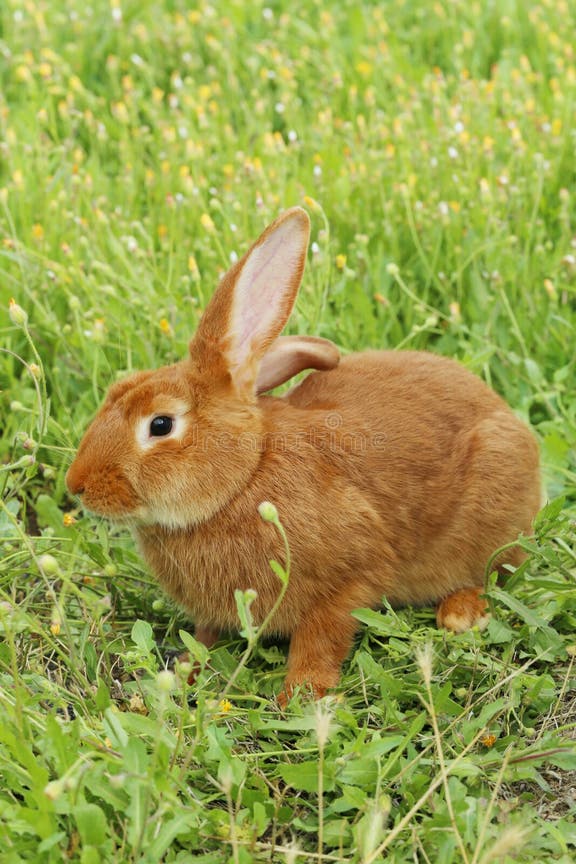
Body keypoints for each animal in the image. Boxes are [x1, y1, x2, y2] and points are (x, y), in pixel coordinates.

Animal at [66, 207, 541, 702]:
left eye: (160, 425)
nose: (77, 485)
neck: (245, 477)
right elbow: (204, 637)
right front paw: (180, 674)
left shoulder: (348, 581)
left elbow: (321, 636)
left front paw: (301, 696)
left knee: (495, 570)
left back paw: (459, 613)